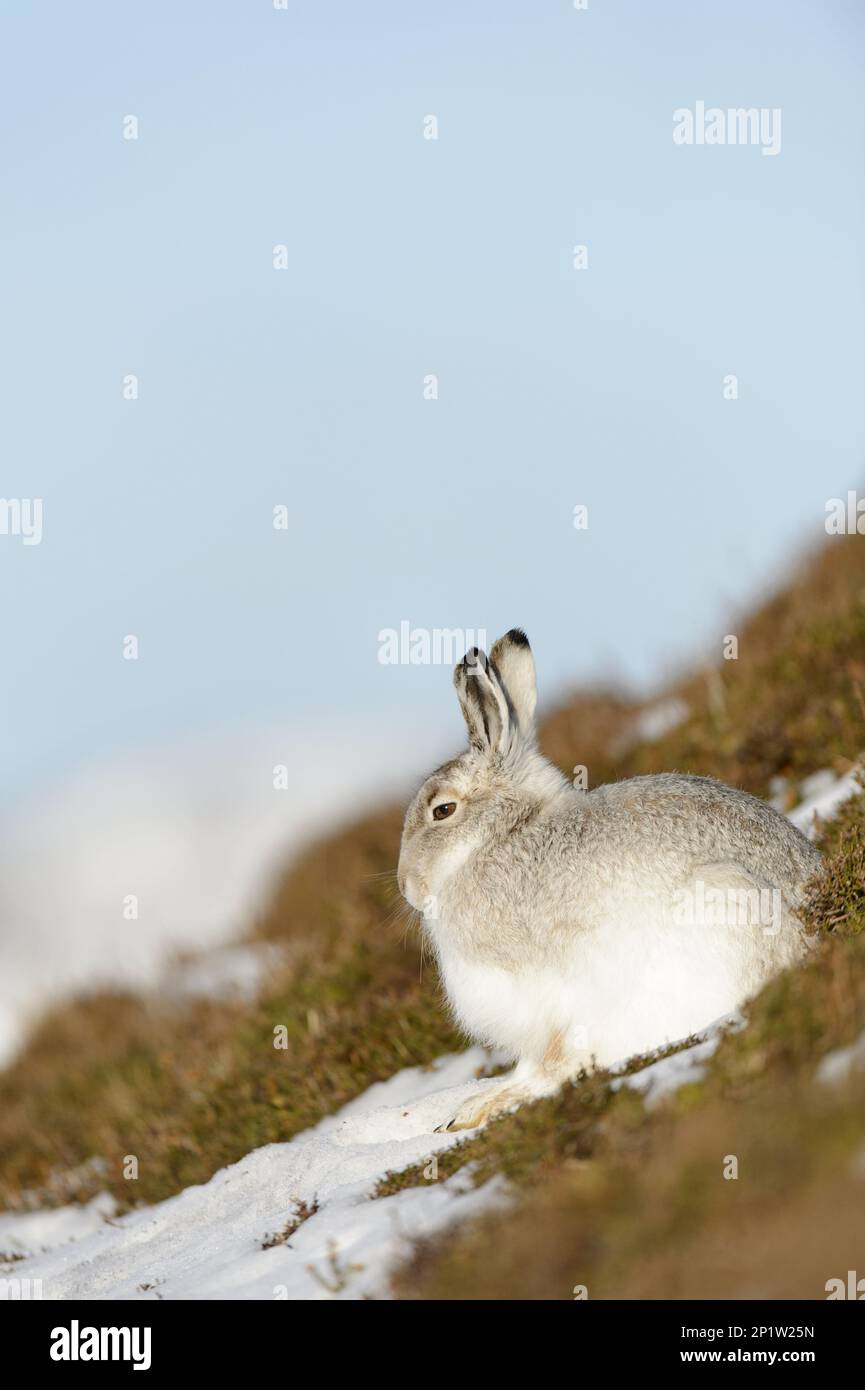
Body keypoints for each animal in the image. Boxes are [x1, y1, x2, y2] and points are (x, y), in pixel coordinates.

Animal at [397, 628, 821, 1131]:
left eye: (443, 810)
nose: (407, 887)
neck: (507, 834)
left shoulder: (549, 1002)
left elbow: (551, 1064)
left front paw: (484, 1107)